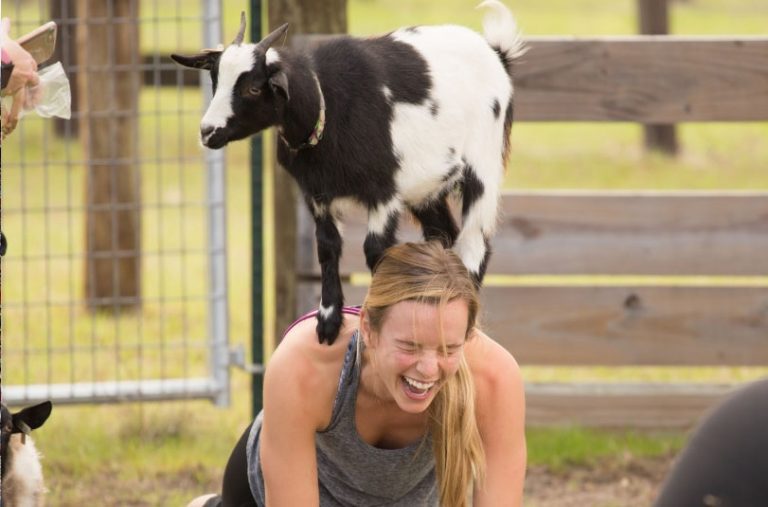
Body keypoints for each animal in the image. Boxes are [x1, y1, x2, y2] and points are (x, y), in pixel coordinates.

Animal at [172, 0, 525, 344]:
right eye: (215, 79)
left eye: (254, 89)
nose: (207, 132)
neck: (328, 105)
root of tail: (497, 53)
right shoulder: (316, 193)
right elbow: (327, 247)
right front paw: (328, 321)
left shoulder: (383, 191)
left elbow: (375, 251)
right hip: (426, 186)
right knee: (444, 235)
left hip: (483, 168)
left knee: (474, 244)